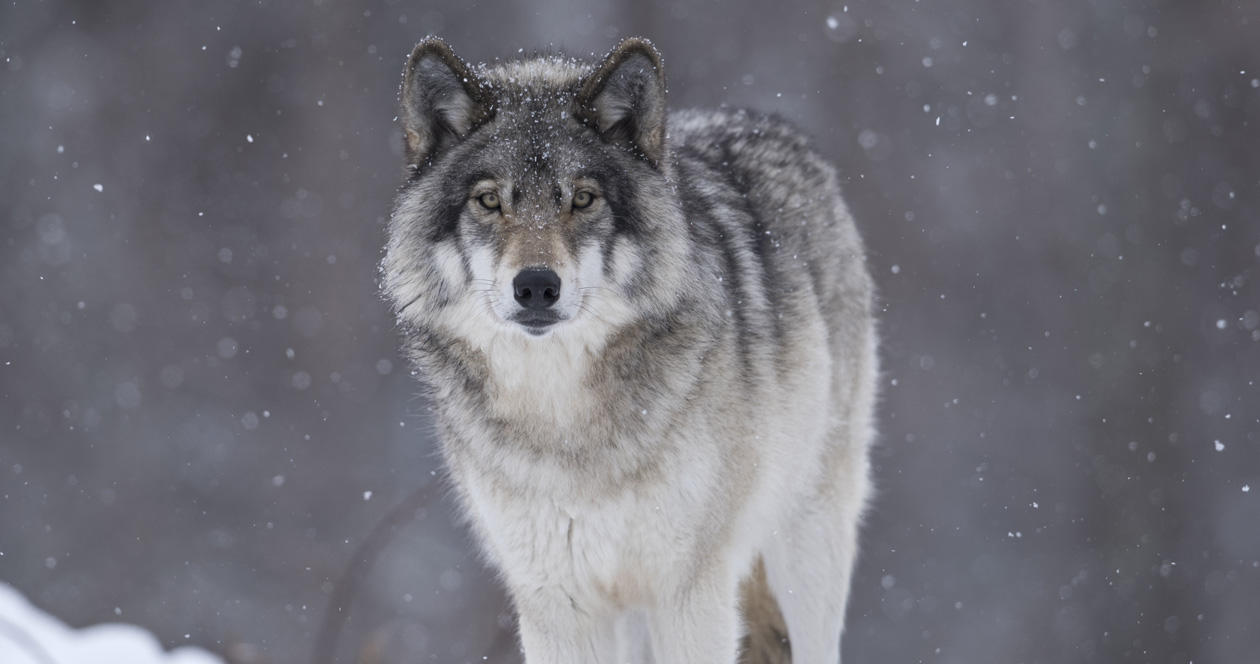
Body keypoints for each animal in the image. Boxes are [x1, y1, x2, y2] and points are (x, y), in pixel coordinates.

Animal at [382, 36, 877, 664]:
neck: (562, 420)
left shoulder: (690, 594)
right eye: (489, 201)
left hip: (806, 552)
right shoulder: (556, 605)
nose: (536, 286)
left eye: (582, 199)